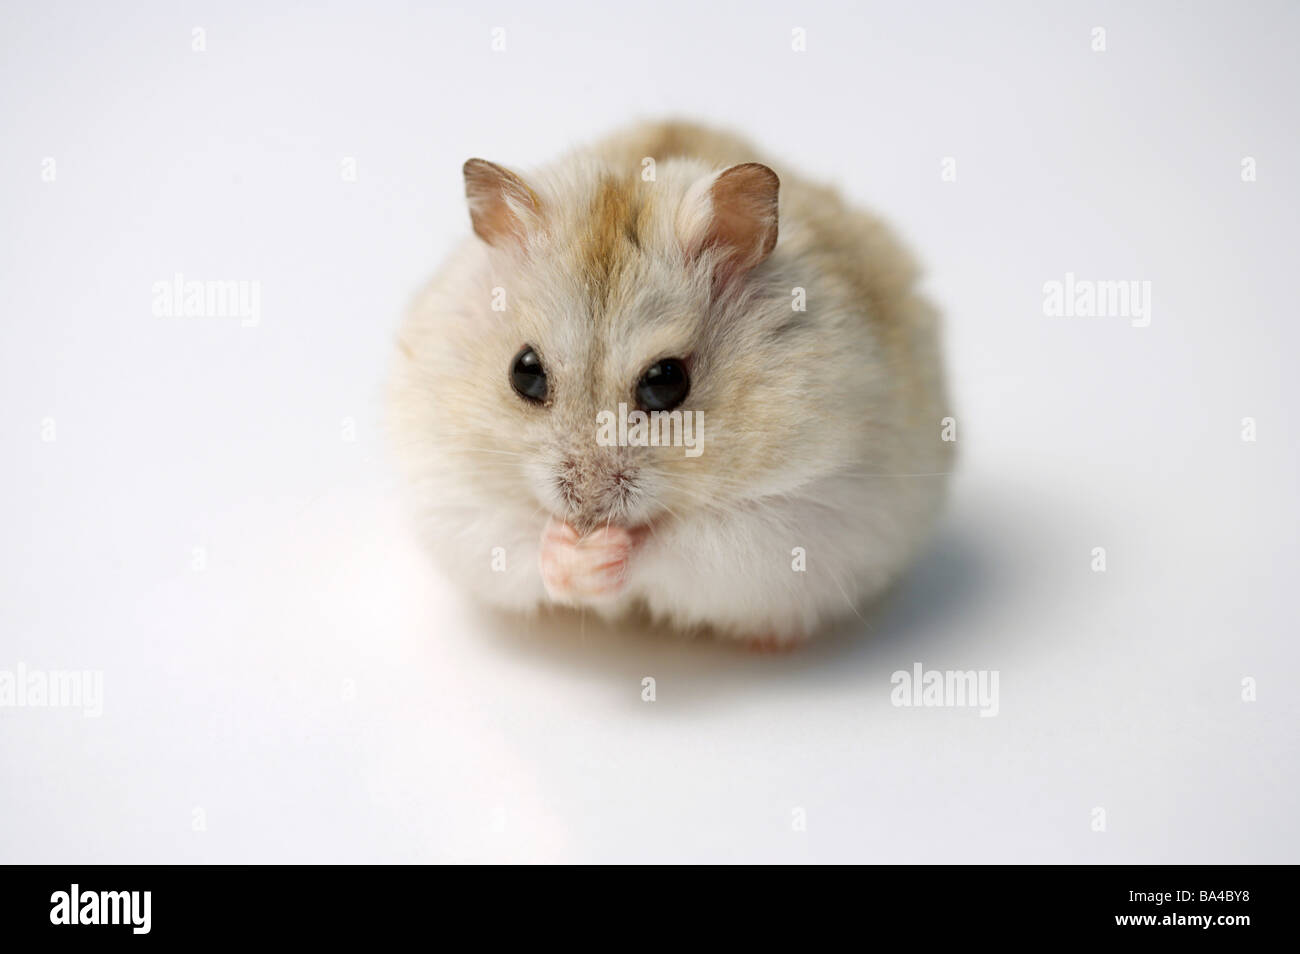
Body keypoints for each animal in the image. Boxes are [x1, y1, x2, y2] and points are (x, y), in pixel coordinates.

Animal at [390, 120, 953, 649]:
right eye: (524, 371)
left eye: (665, 382)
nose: (587, 513)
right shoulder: (450, 488)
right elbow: (520, 535)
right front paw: (572, 552)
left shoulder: (794, 512)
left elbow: (671, 544)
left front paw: (603, 553)